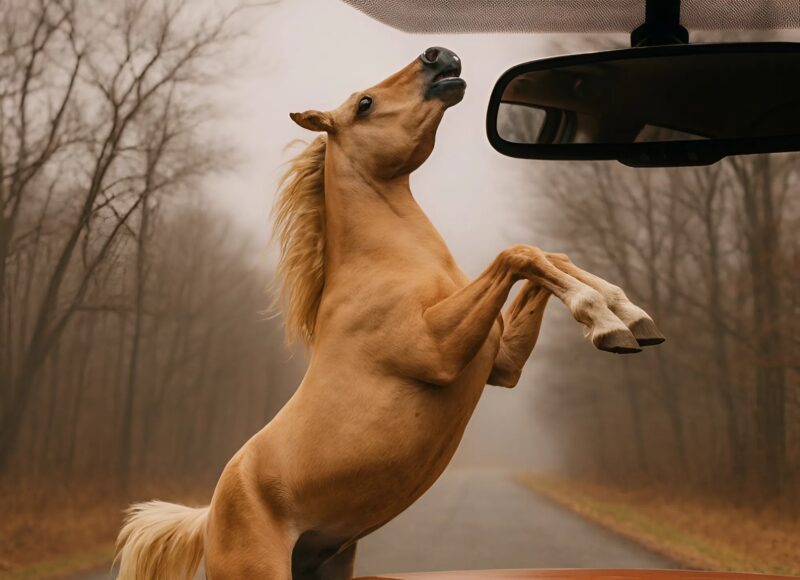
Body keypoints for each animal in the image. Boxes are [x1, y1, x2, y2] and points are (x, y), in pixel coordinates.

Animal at [114, 46, 664, 580]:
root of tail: (211, 513)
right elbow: (520, 255)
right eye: (364, 104)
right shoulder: (436, 350)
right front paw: (606, 323)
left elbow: (550, 258)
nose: (438, 56)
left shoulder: (502, 363)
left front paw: (631, 318)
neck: (388, 264)